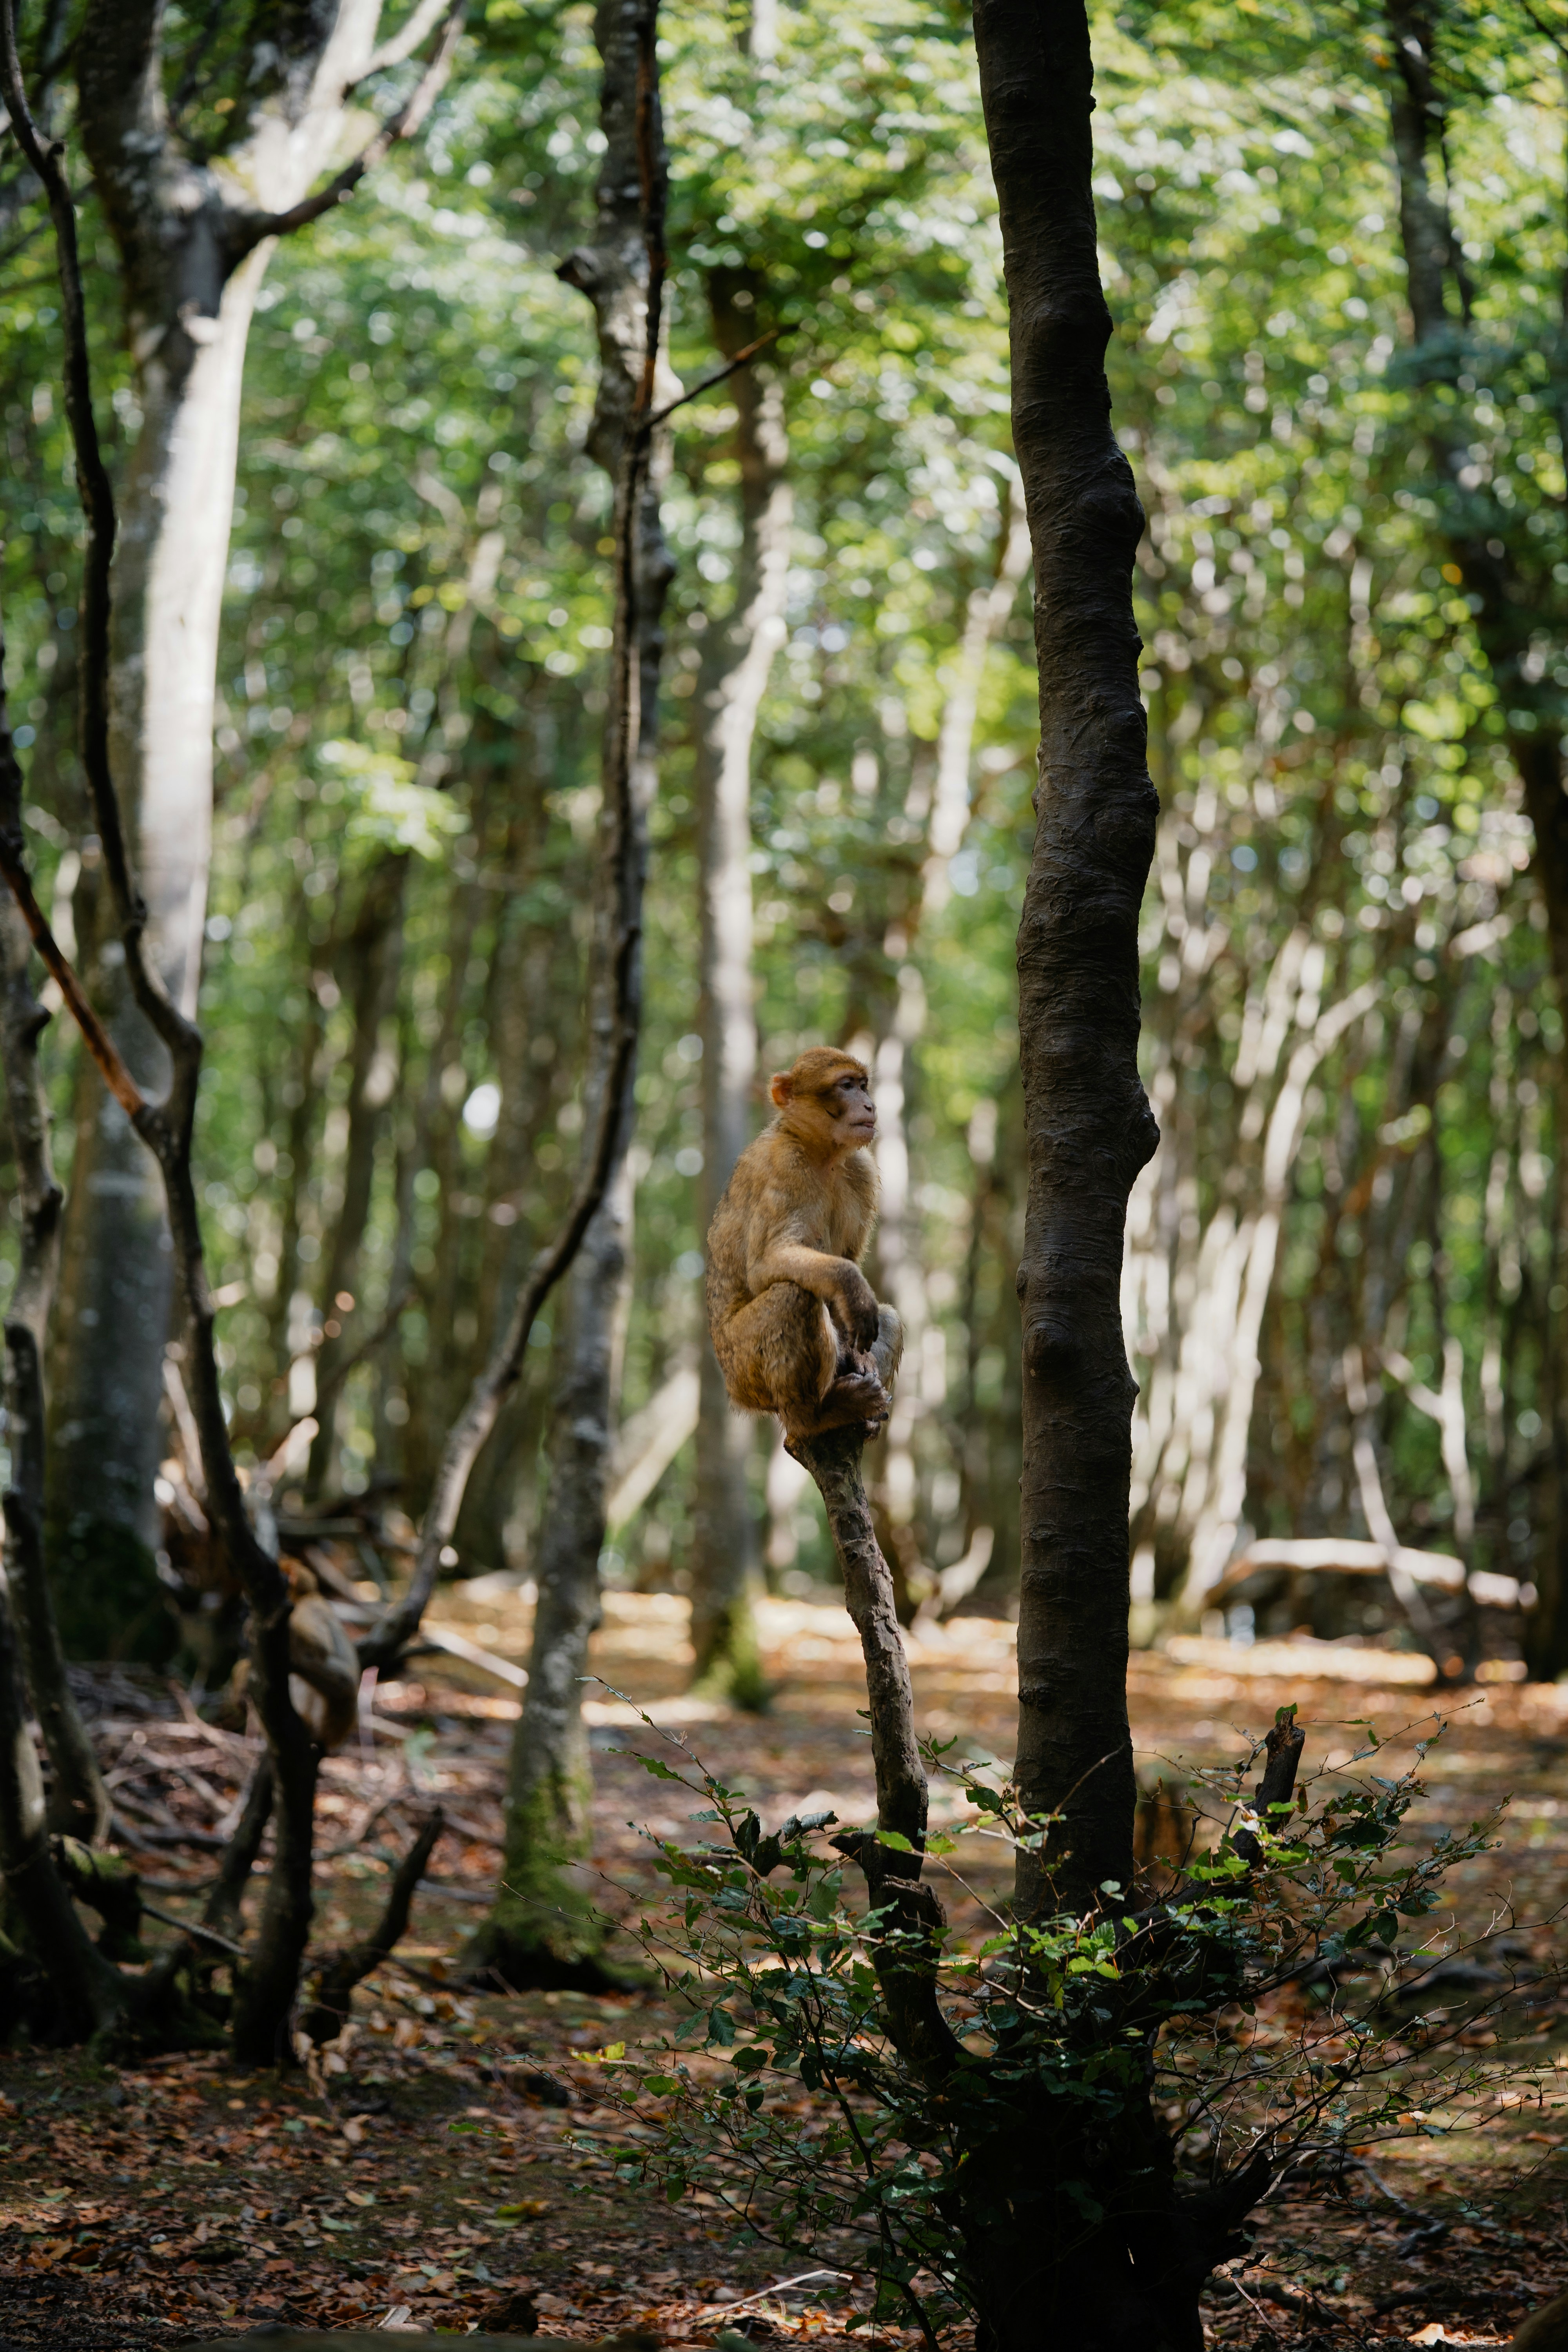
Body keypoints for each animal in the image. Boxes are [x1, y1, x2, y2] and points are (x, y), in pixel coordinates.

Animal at [706, 1045, 903, 1445]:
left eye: (863, 1085)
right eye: (846, 1086)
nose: (869, 1104)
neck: (821, 1152)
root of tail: (734, 1393)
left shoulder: (860, 1169)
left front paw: (862, 1356)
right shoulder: (787, 1167)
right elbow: (768, 1263)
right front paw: (852, 1284)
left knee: (884, 1316)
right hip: (745, 1369)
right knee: (793, 1295)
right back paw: (813, 1417)